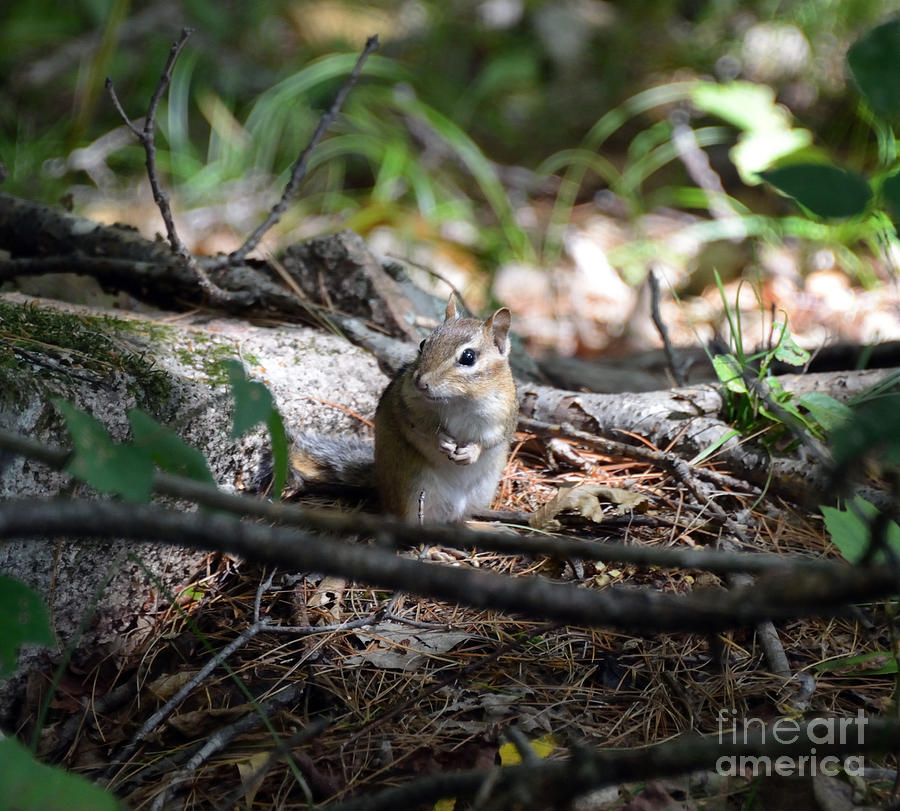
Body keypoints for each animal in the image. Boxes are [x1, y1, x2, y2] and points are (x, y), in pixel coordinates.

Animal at [287, 296, 518, 523]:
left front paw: (471, 452)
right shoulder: (407, 404)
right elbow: (419, 427)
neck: (457, 401)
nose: (420, 382)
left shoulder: (502, 416)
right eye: (423, 343)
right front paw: (442, 441)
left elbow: (490, 441)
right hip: (411, 490)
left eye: (468, 357)